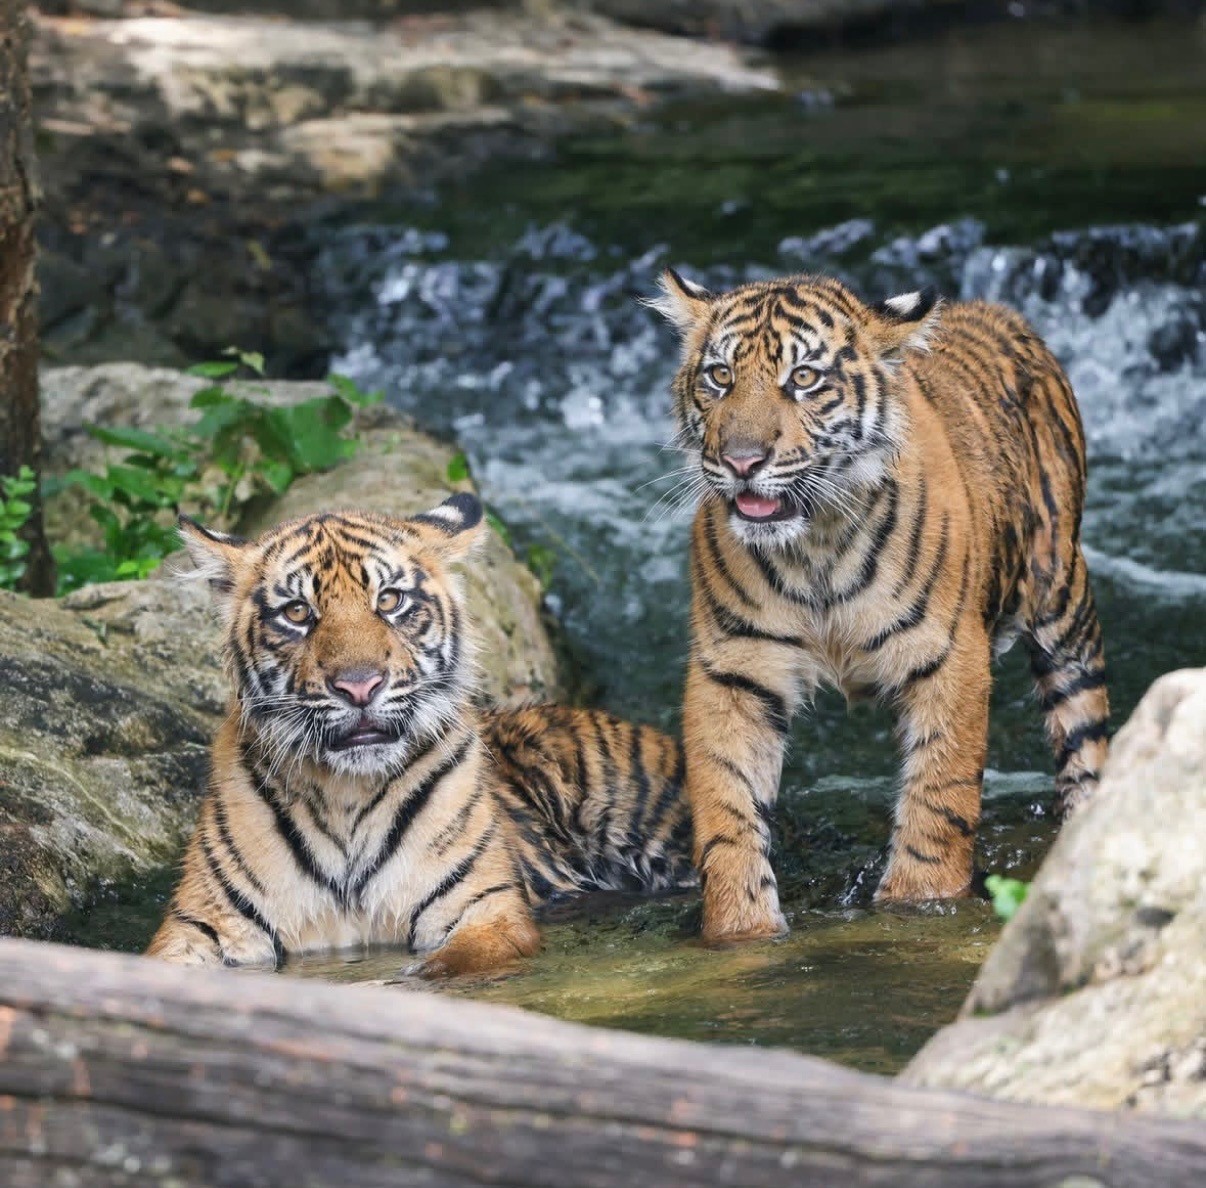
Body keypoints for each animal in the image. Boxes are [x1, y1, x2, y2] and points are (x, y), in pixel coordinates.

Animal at [146, 495, 691, 976]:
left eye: (389, 600)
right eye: (297, 612)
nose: (359, 686)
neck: (345, 797)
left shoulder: (484, 911)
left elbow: (445, 966)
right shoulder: (202, 925)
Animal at [649, 268, 1109, 944]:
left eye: (803, 379)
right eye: (720, 376)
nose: (741, 461)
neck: (813, 544)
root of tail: (998, 311)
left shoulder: (949, 658)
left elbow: (939, 796)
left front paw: (918, 898)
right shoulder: (734, 669)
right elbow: (727, 803)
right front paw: (740, 925)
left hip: (1062, 597)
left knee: (1085, 734)